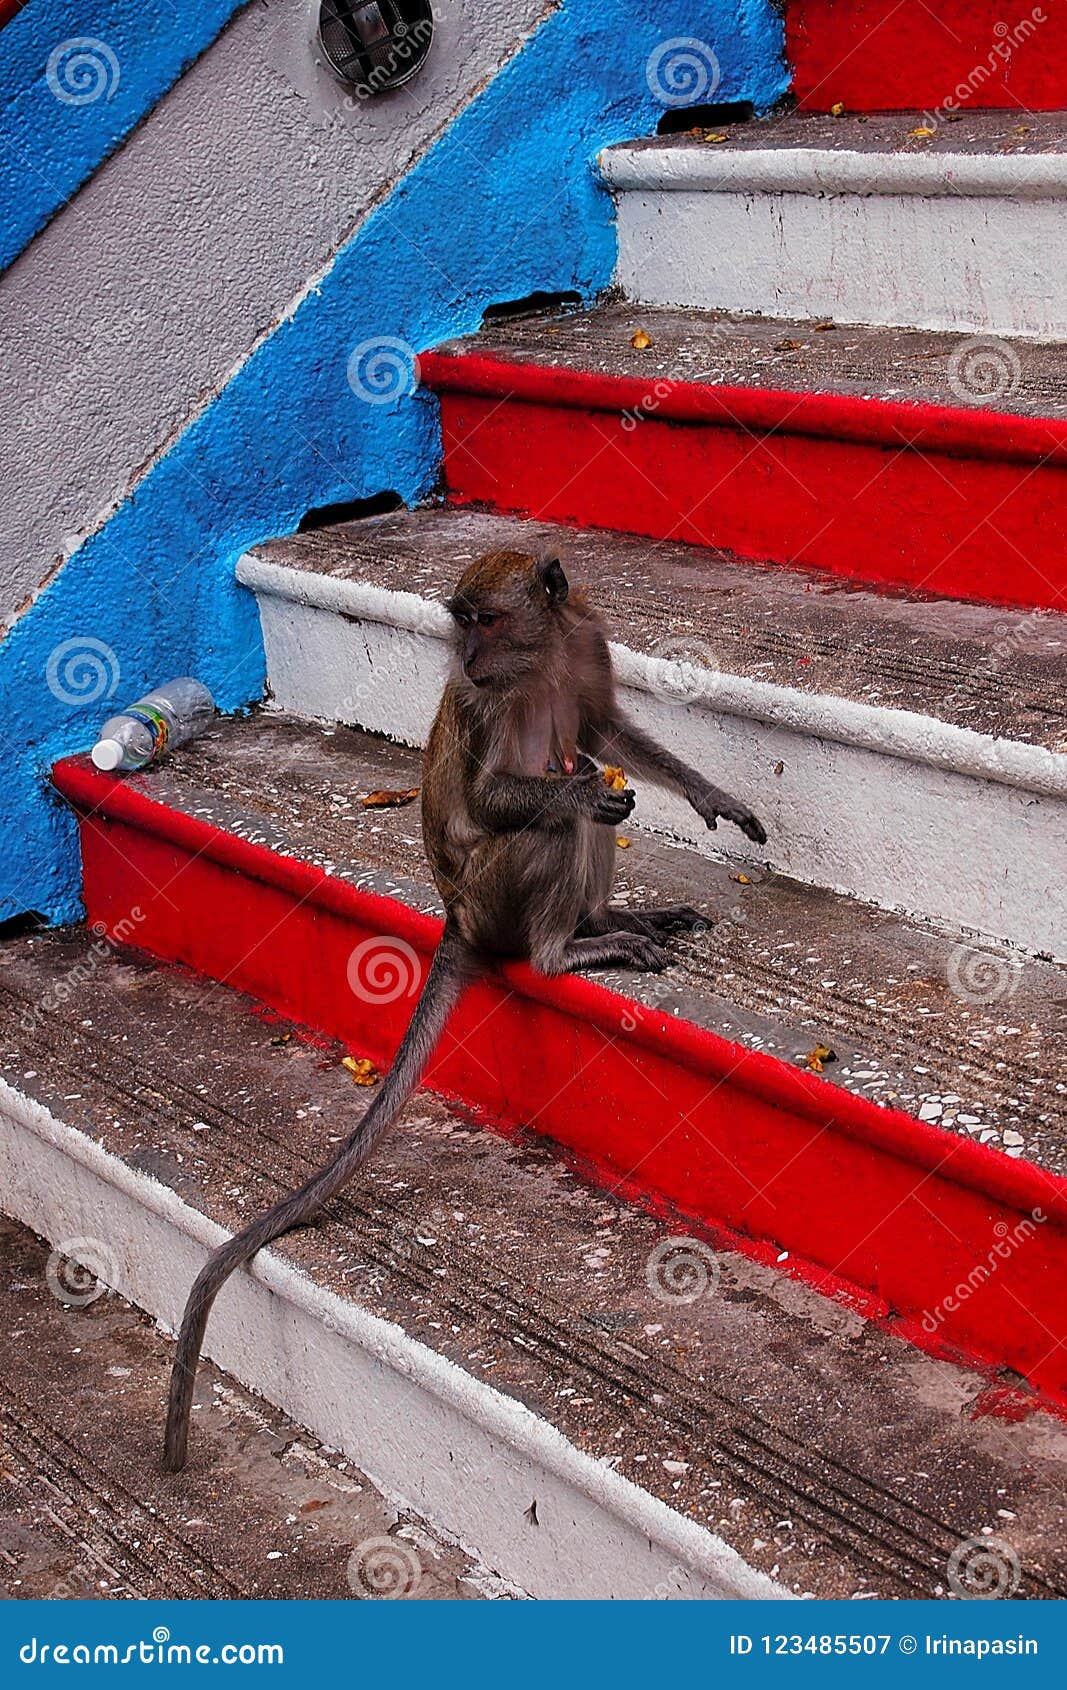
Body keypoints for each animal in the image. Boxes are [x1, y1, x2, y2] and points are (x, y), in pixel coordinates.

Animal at [163, 548, 765, 1470]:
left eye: (485, 620)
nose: (468, 658)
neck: (535, 659)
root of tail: (455, 916)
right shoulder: (484, 707)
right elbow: (498, 799)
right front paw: (568, 804)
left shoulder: (586, 643)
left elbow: (602, 735)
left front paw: (709, 796)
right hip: (492, 900)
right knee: (559, 818)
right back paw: (564, 948)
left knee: (593, 784)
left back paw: (603, 920)